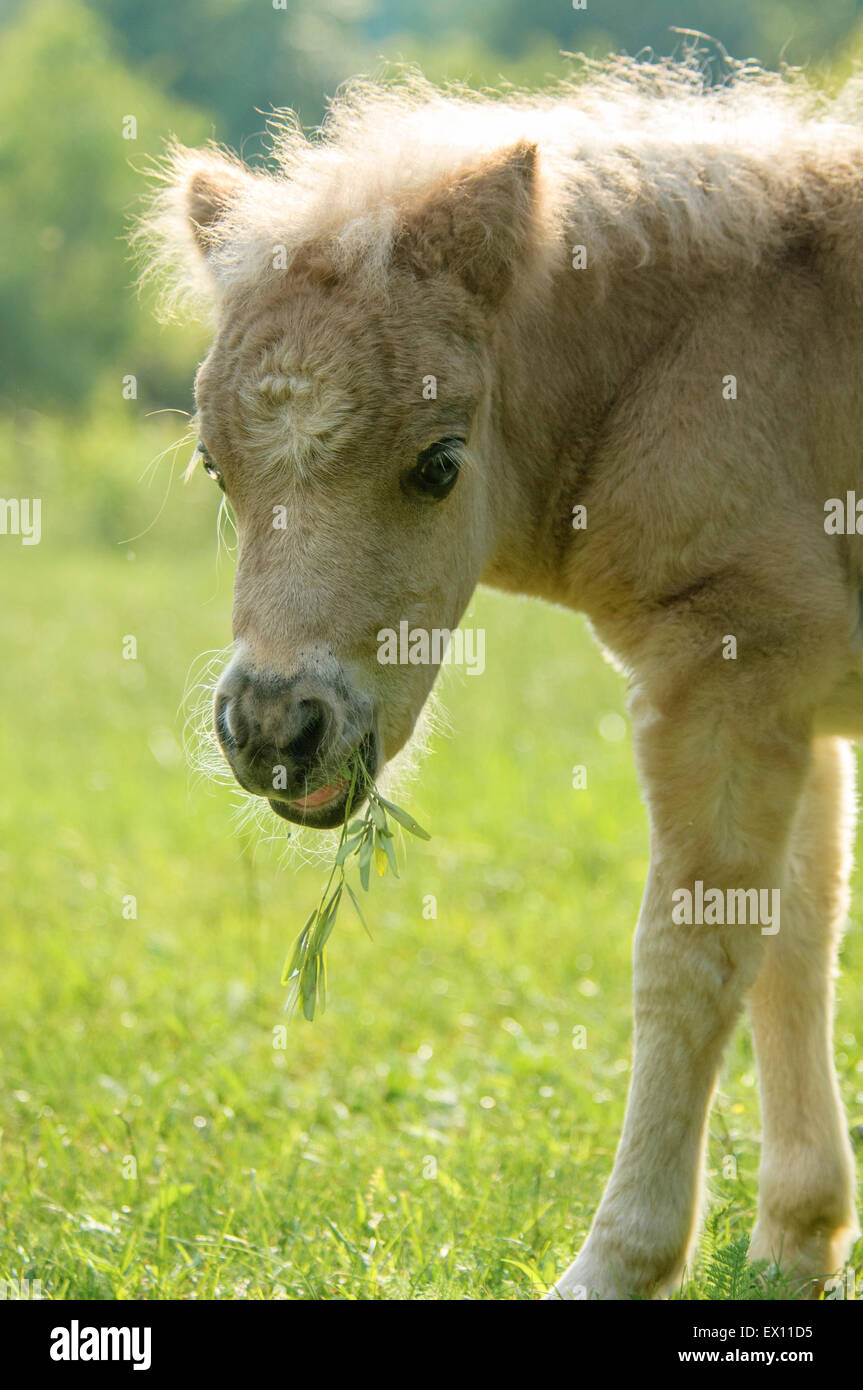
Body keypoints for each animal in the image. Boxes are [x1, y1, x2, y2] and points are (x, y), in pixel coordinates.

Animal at [137, 58, 863, 1299]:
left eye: (438, 464)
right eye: (213, 465)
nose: (275, 725)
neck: (697, 359)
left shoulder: (728, 671)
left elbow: (689, 957)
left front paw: (617, 1262)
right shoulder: (792, 686)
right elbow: (791, 941)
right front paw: (790, 1242)